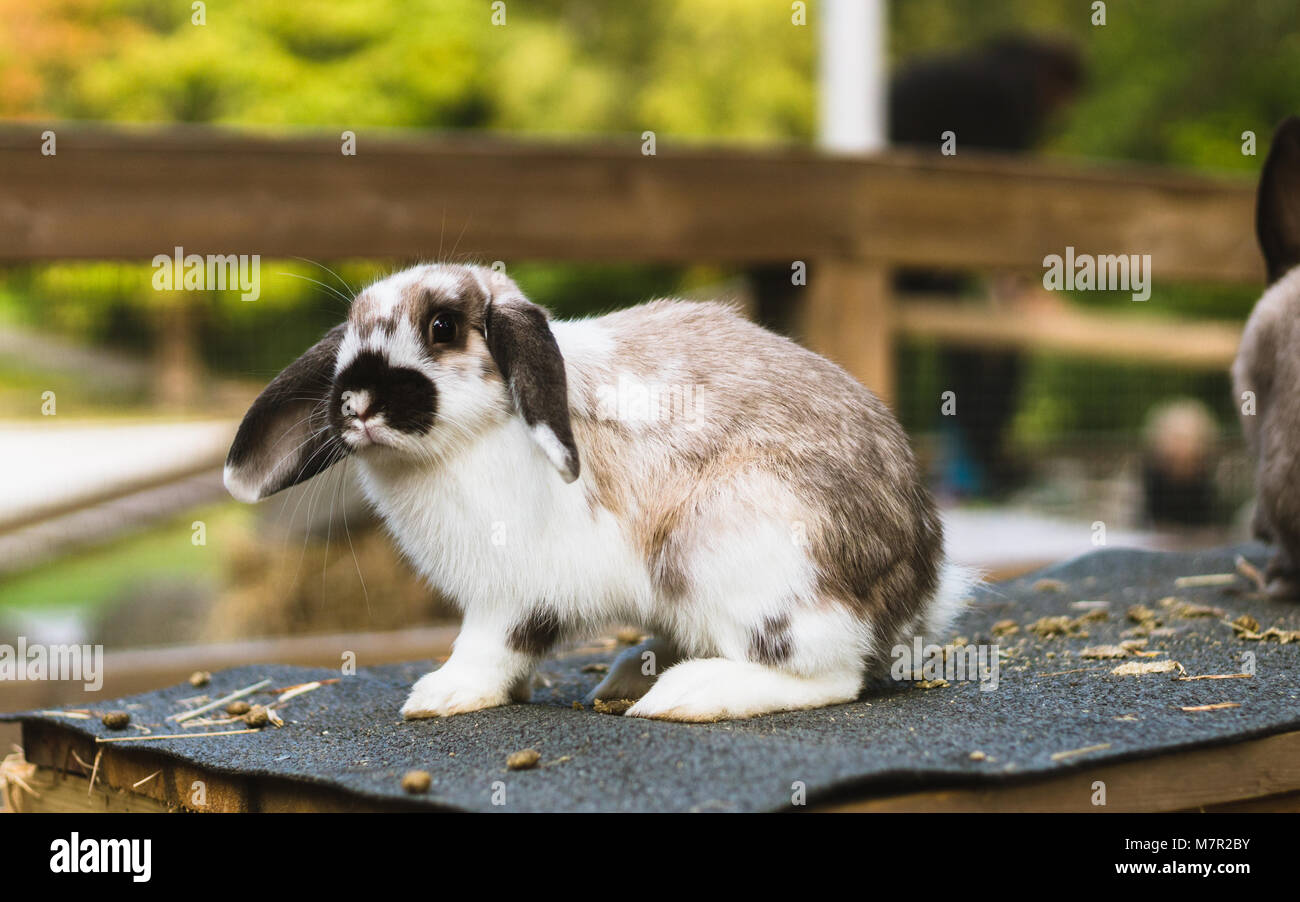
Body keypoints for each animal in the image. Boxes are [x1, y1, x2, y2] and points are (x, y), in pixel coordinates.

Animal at [224, 263, 975, 721]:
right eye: (351, 334)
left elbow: (490, 646)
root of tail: (919, 585)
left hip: (739, 544)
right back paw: (634, 676)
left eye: (443, 328)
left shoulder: (513, 593)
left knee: (830, 673)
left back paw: (688, 694)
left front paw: (440, 694)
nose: (354, 403)